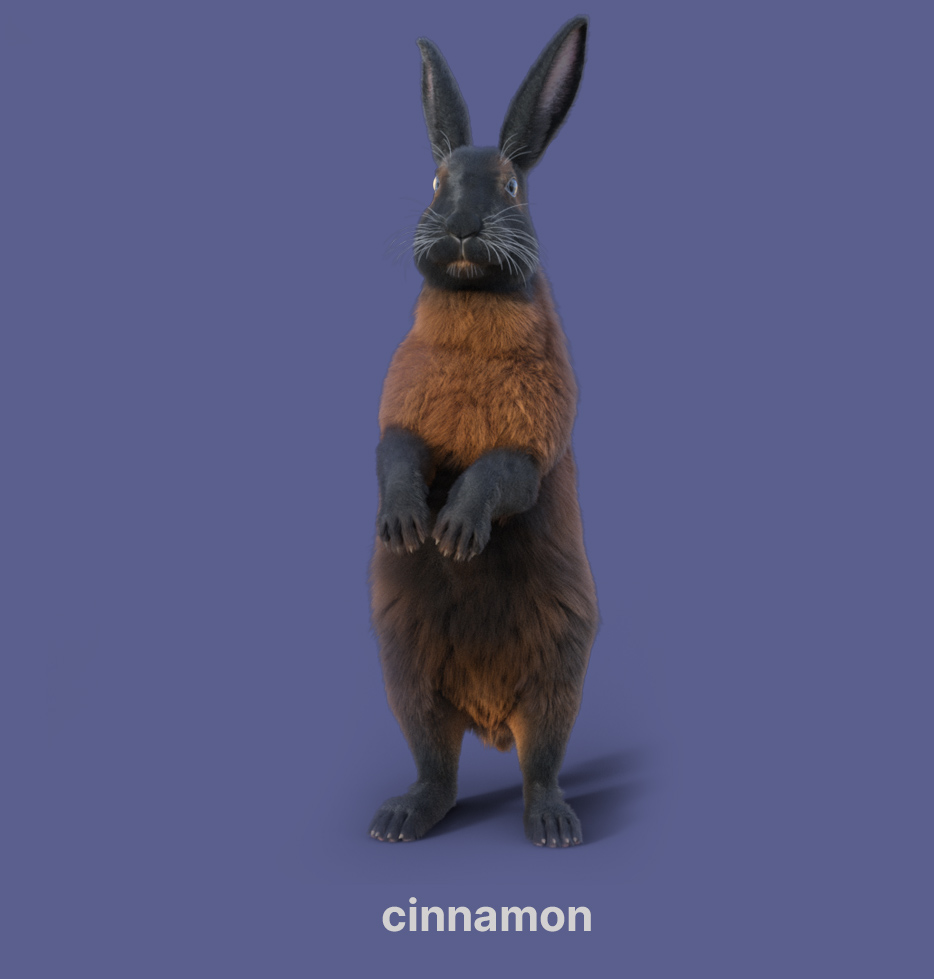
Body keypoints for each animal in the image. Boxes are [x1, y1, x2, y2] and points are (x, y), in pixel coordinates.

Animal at [369, 16, 598, 848]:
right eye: (438, 182)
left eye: (510, 186)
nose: (464, 228)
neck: (472, 302)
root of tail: (491, 719)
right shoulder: (400, 414)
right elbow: (397, 453)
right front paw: (407, 526)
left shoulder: (534, 434)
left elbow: (499, 472)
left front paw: (456, 535)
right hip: (407, 673)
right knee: (437, 764)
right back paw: (398, 819)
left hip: (558, 669)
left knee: (541, 762)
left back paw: (554, 826)